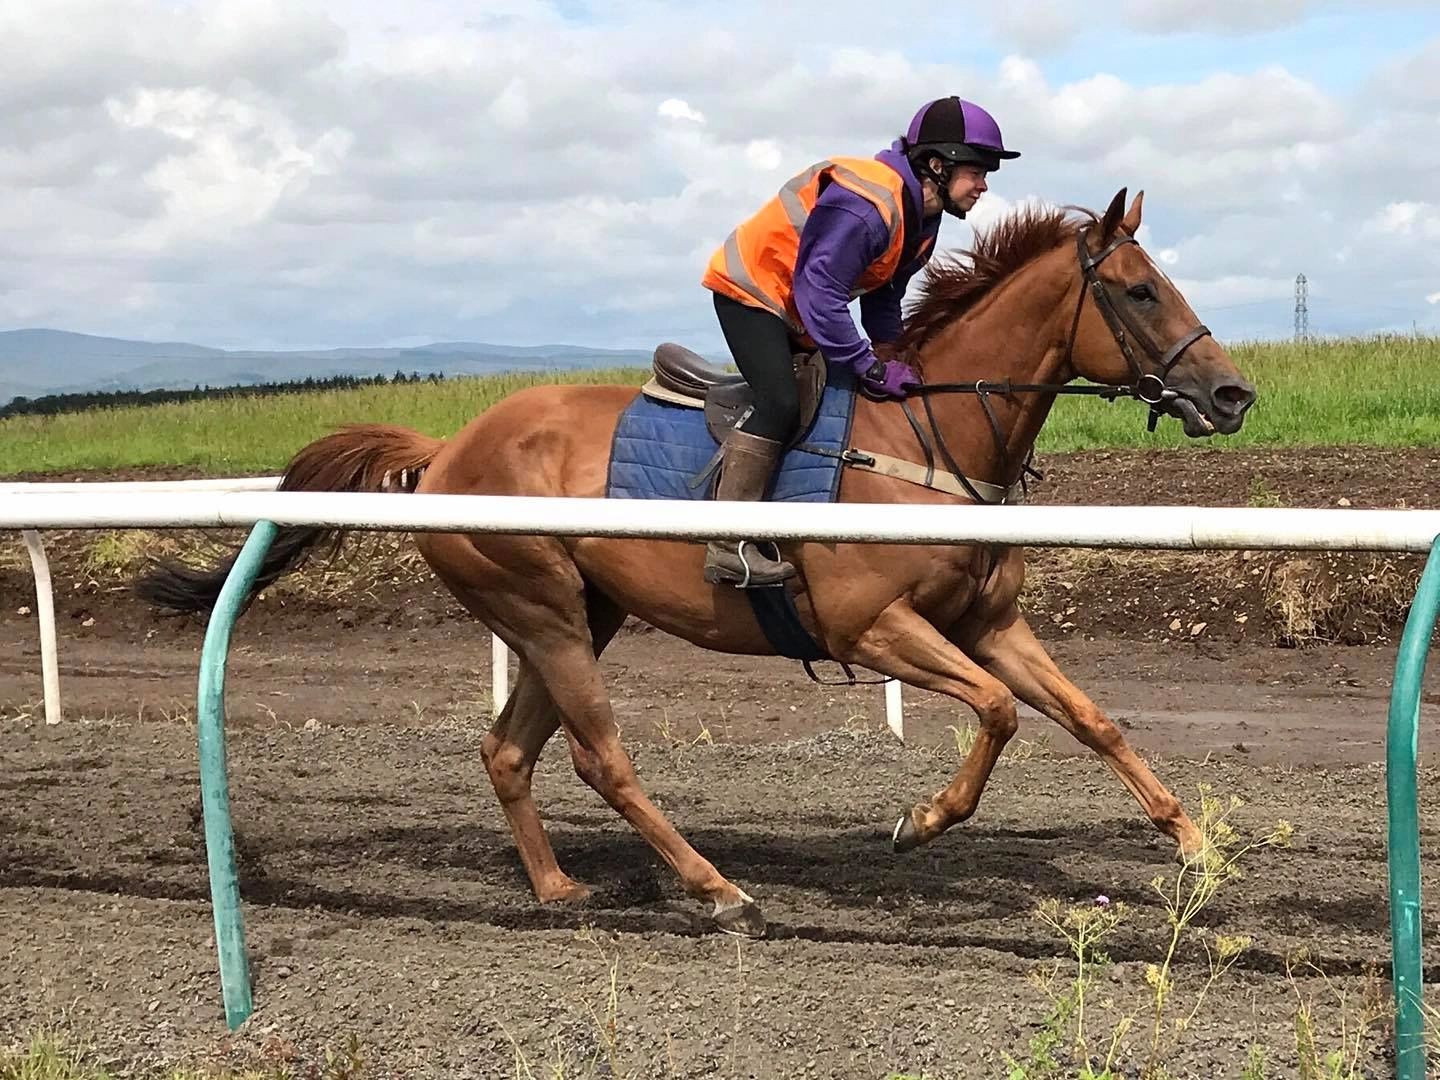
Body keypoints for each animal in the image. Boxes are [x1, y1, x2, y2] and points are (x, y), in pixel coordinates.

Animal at [140, 189, 1256, 938]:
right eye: (1138, 291)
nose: (1233, 393)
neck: (929, 435)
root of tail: (447, 449)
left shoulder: (987, 621)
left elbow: (1091, 718)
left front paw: (1196, 845)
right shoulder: (870, 627)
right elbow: (995, 713)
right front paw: (921, 820)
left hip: (576, 614)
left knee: (509, 753)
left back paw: (558, 889)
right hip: (543, 608)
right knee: (601, 757)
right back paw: (718, 889)